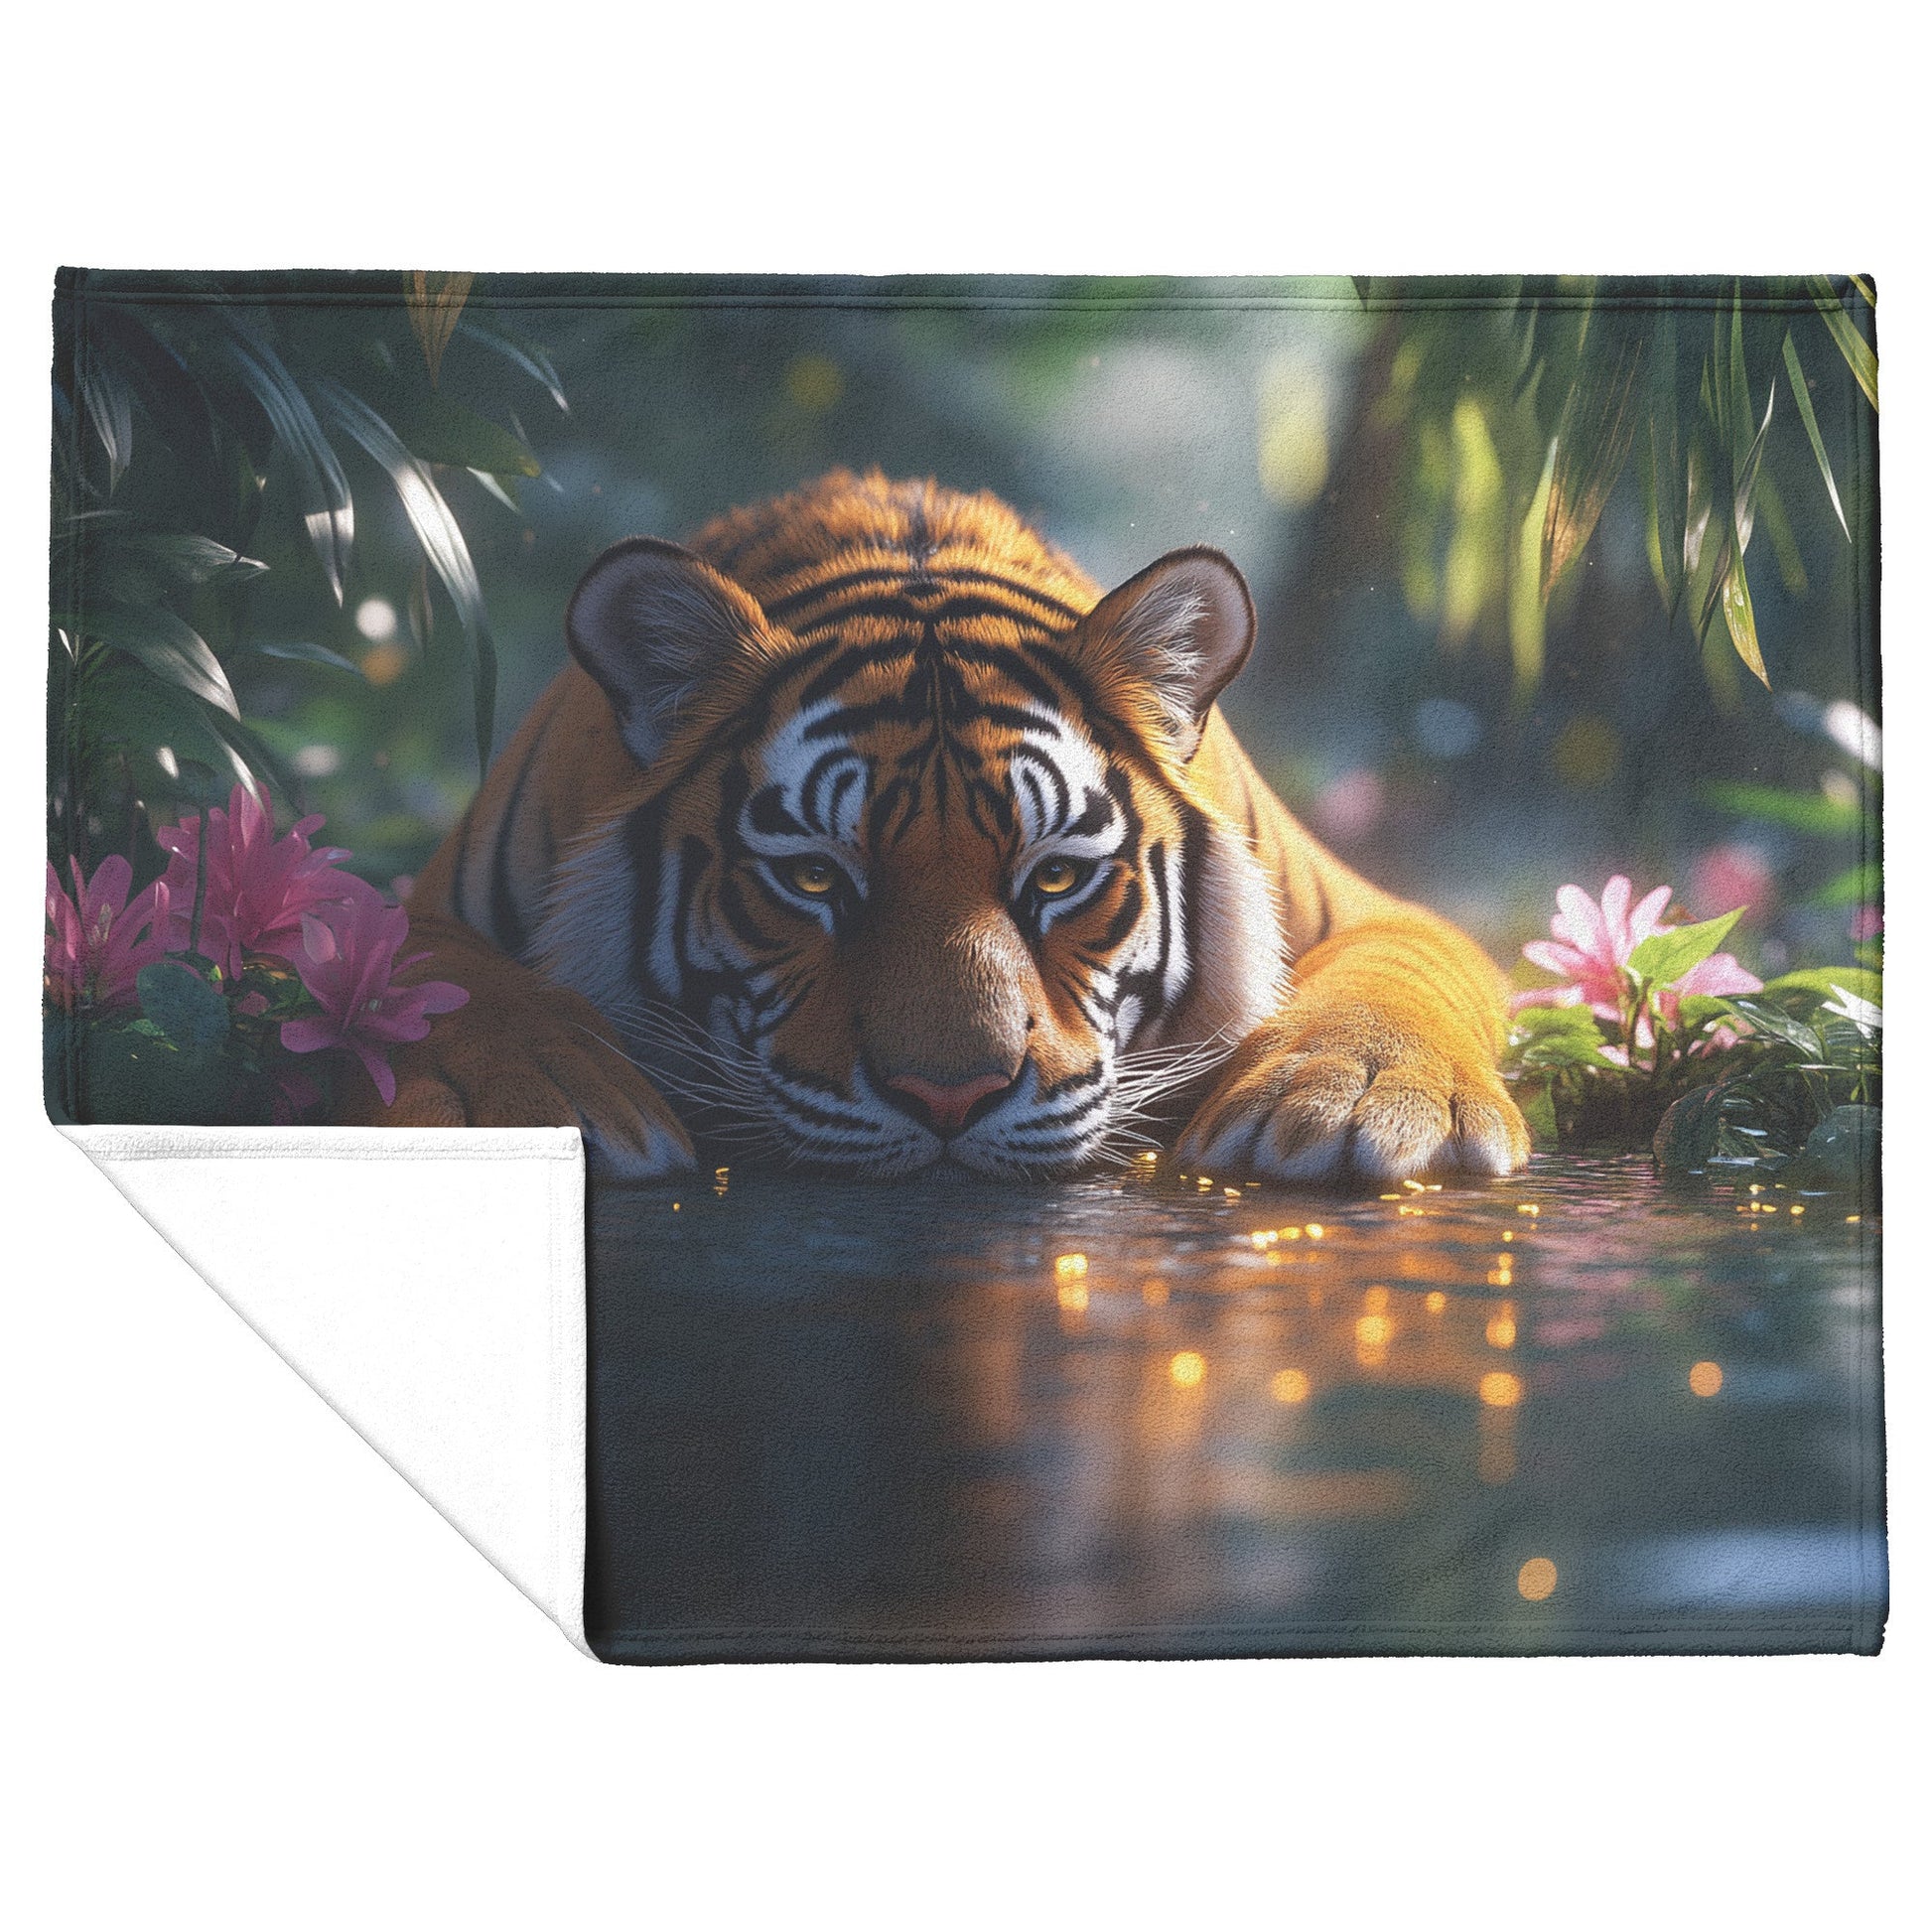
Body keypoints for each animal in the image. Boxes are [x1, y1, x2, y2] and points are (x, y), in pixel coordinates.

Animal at [347, 469, 1531, 1186]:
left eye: (1054, 878)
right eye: (813, 880)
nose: (948, 1098)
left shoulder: (1378, 910)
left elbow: (1394, 973)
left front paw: (1351, 1107)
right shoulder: (425, 906)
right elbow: (443, 976)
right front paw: (536, 1097)